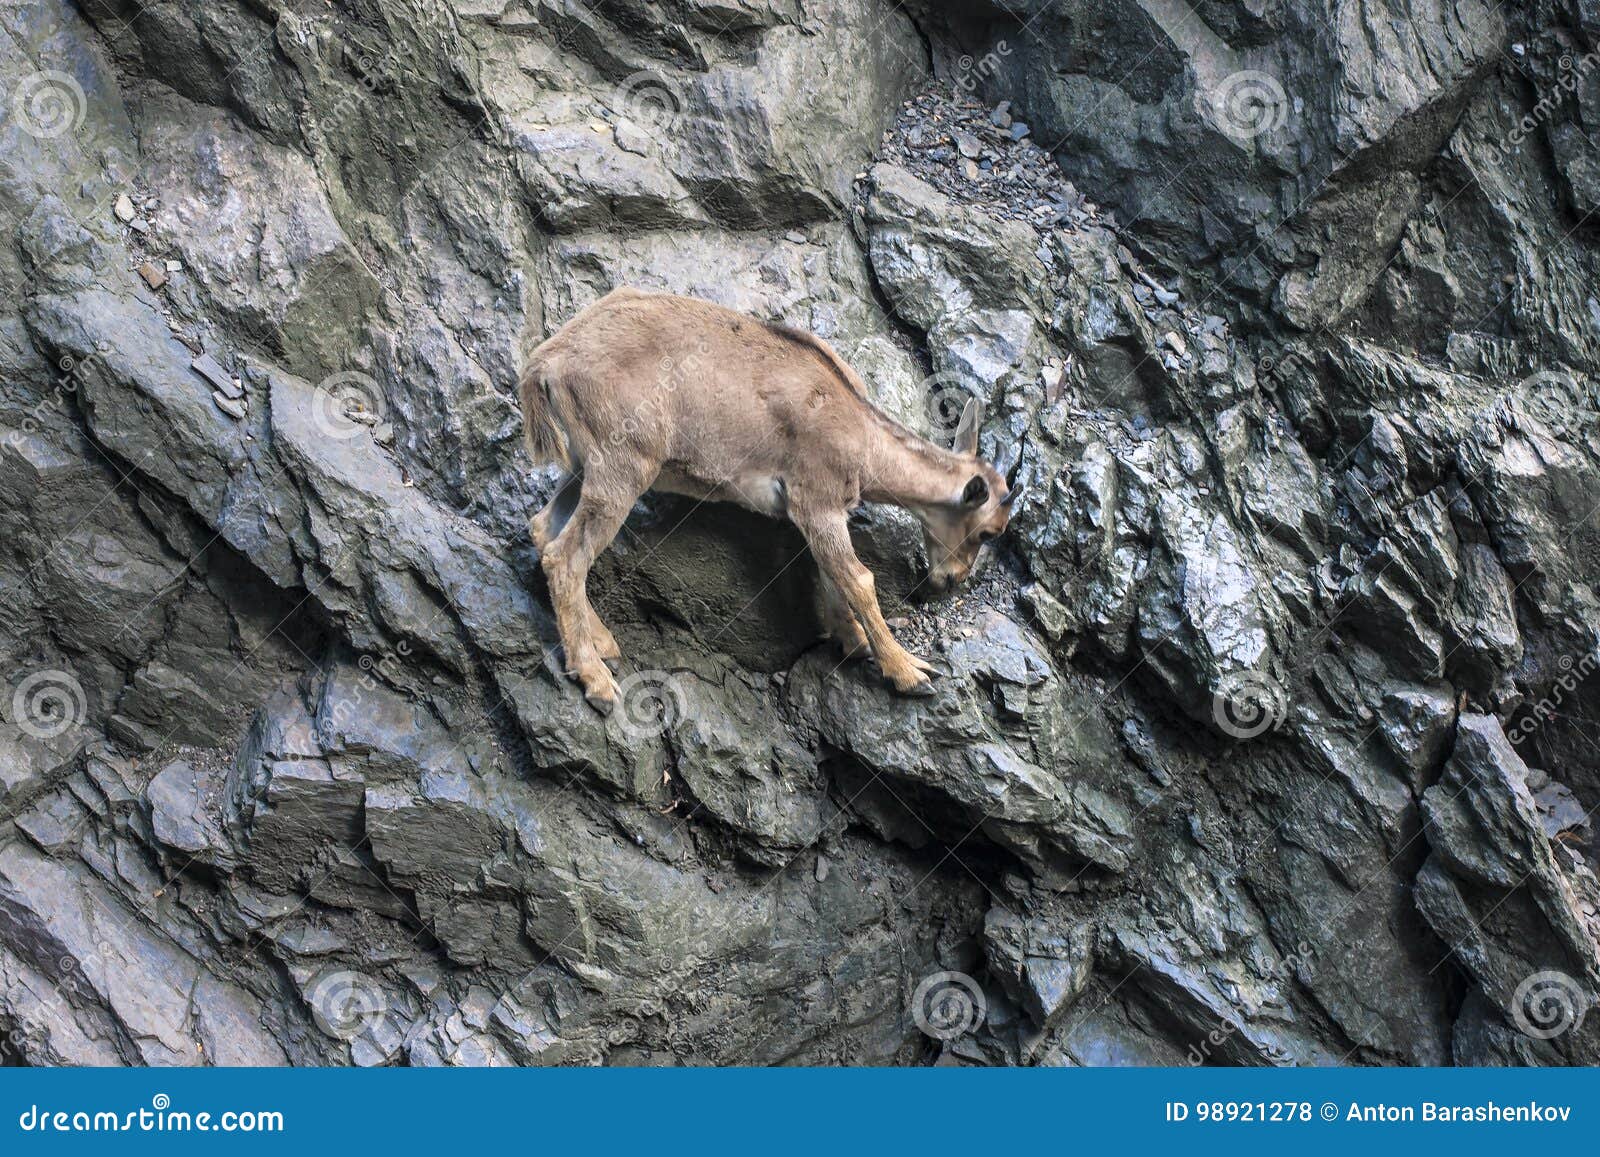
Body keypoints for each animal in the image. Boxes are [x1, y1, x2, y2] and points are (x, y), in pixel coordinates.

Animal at [519, 287, 1019, 713]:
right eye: (989, 530)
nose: (950, 580)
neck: (861, 438)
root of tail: (547, 362)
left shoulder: (819, 513)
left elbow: (833, 576)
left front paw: (854, 641)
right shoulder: (816, 499)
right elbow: (857, 578)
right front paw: (909, 671)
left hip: (582, 463)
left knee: (545, 530)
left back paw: (602, 644)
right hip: (623, 464)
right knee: (566, 557)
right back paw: (596, 680)